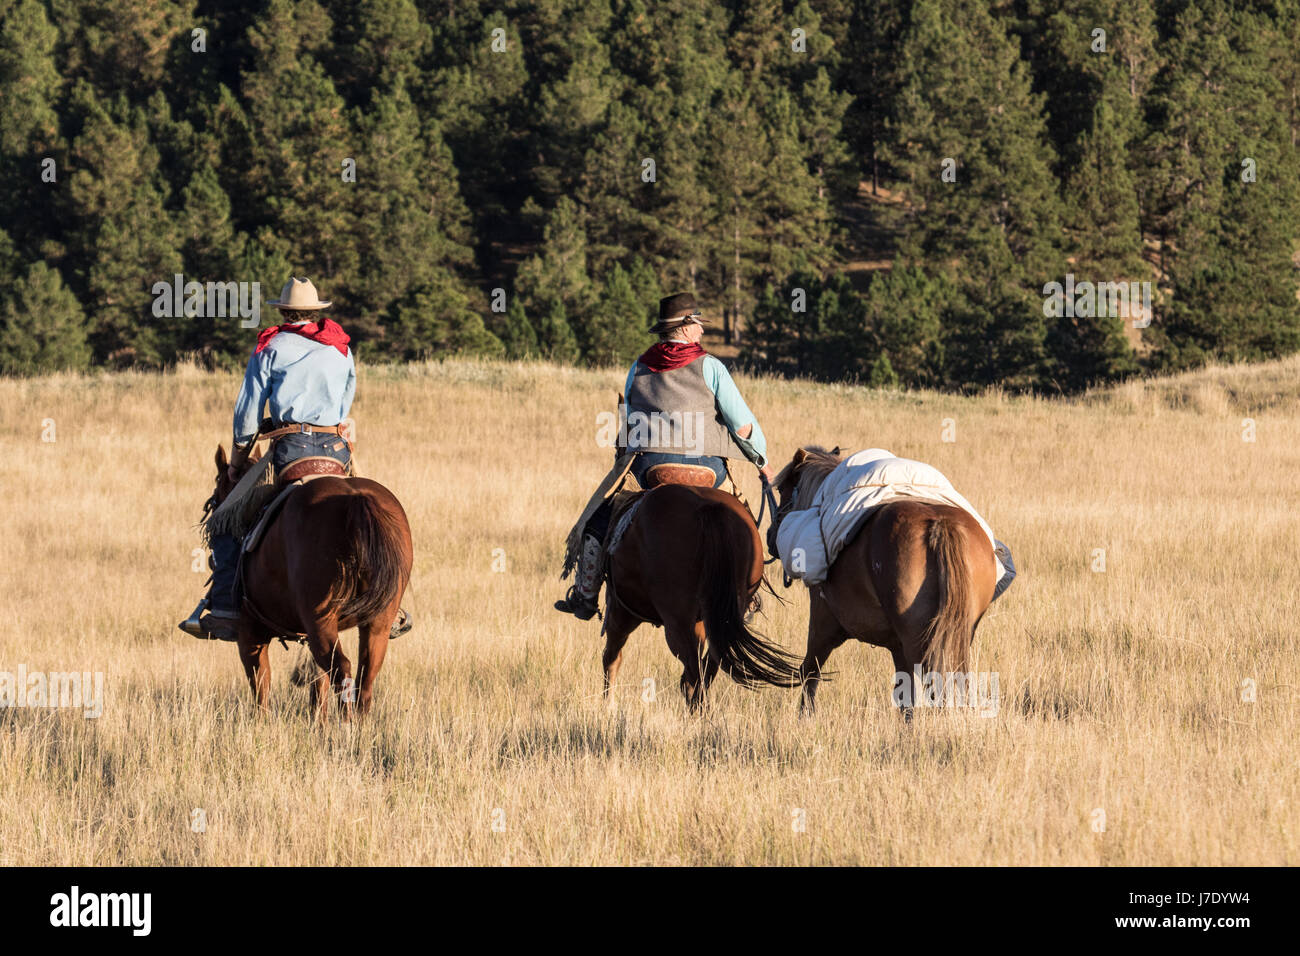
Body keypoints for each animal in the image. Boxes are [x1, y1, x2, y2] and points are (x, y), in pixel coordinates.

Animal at [210, 444, 413, 720]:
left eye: (219, 484)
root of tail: (355, 499)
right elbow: (318, 686)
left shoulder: (249, 632)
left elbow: (261, 684)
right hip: (377, 623)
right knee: (365, 676)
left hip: (320, 621)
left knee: (342, 669)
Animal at [599, 482, 801, 711]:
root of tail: (708, 509)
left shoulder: (622, 609)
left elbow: (612, 656)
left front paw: (608, 705)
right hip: (724, 614)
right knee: (710, 662)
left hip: (675, 620)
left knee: (692, 669)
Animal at [768, 447, 998, 716]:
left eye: (782, 490)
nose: (770, 536)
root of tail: (940, 524)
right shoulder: (897, 646)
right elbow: (905, 697)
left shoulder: (823, 622)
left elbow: (810, 672)